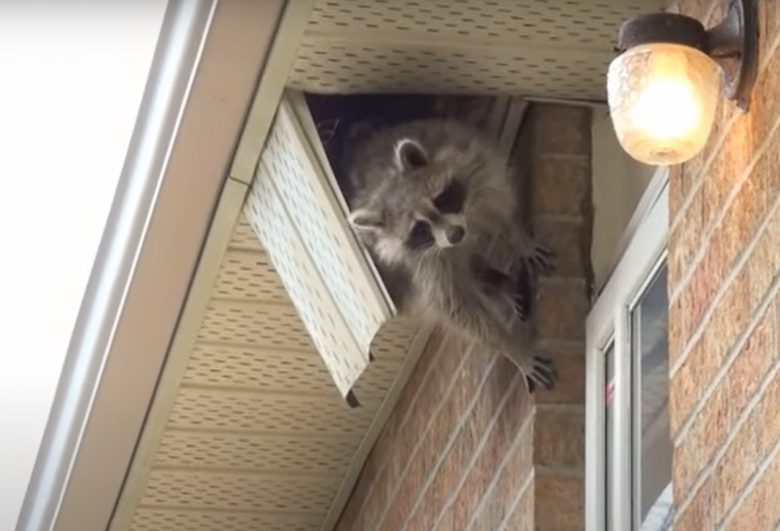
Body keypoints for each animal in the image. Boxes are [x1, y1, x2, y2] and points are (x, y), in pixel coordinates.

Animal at [346, 118, 557, 391]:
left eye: (442, 199)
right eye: (420, 230)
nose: (456, 235)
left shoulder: (472, 166)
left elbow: (499, 206)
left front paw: (518, 239)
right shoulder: (420, 264)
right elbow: (460, 308)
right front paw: (511, 348)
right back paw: (494, 282)